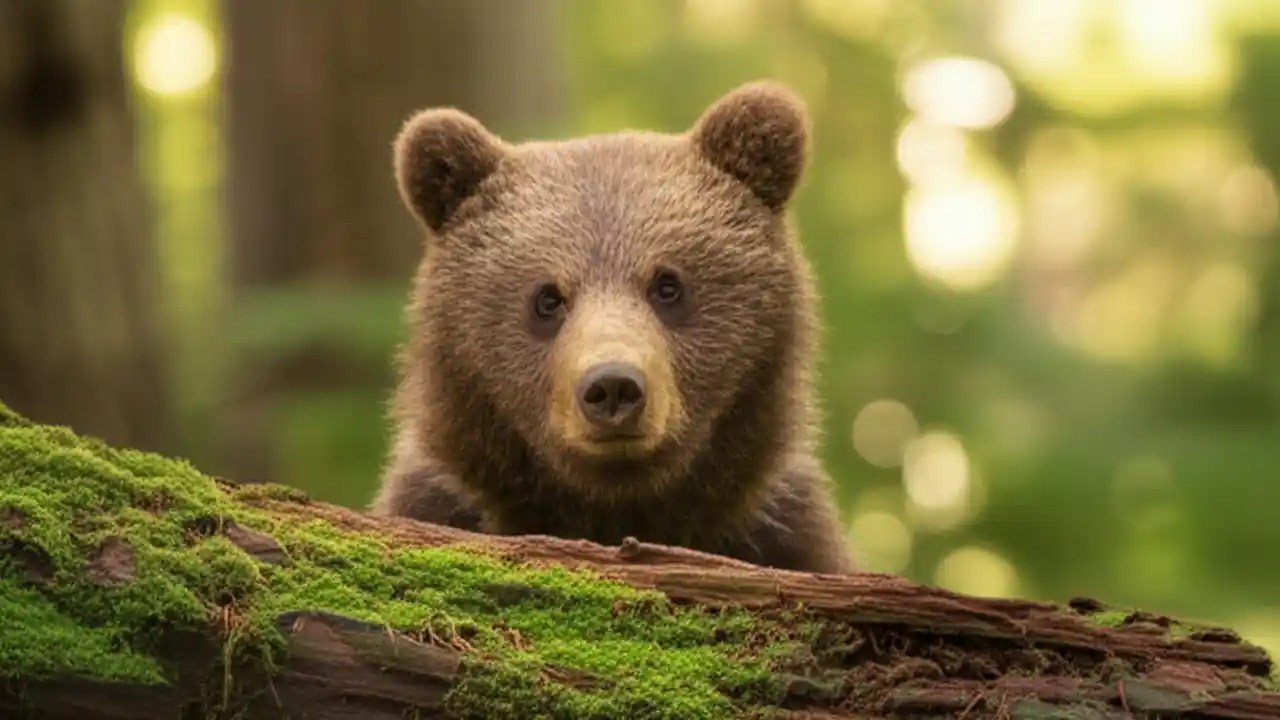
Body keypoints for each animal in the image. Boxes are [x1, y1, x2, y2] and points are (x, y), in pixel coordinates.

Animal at [370, 81, 853, 575]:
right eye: (547, 298)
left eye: (668, 286)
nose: (613, 386)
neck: (612, 505)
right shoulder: (438, 503)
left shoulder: (782, 532)